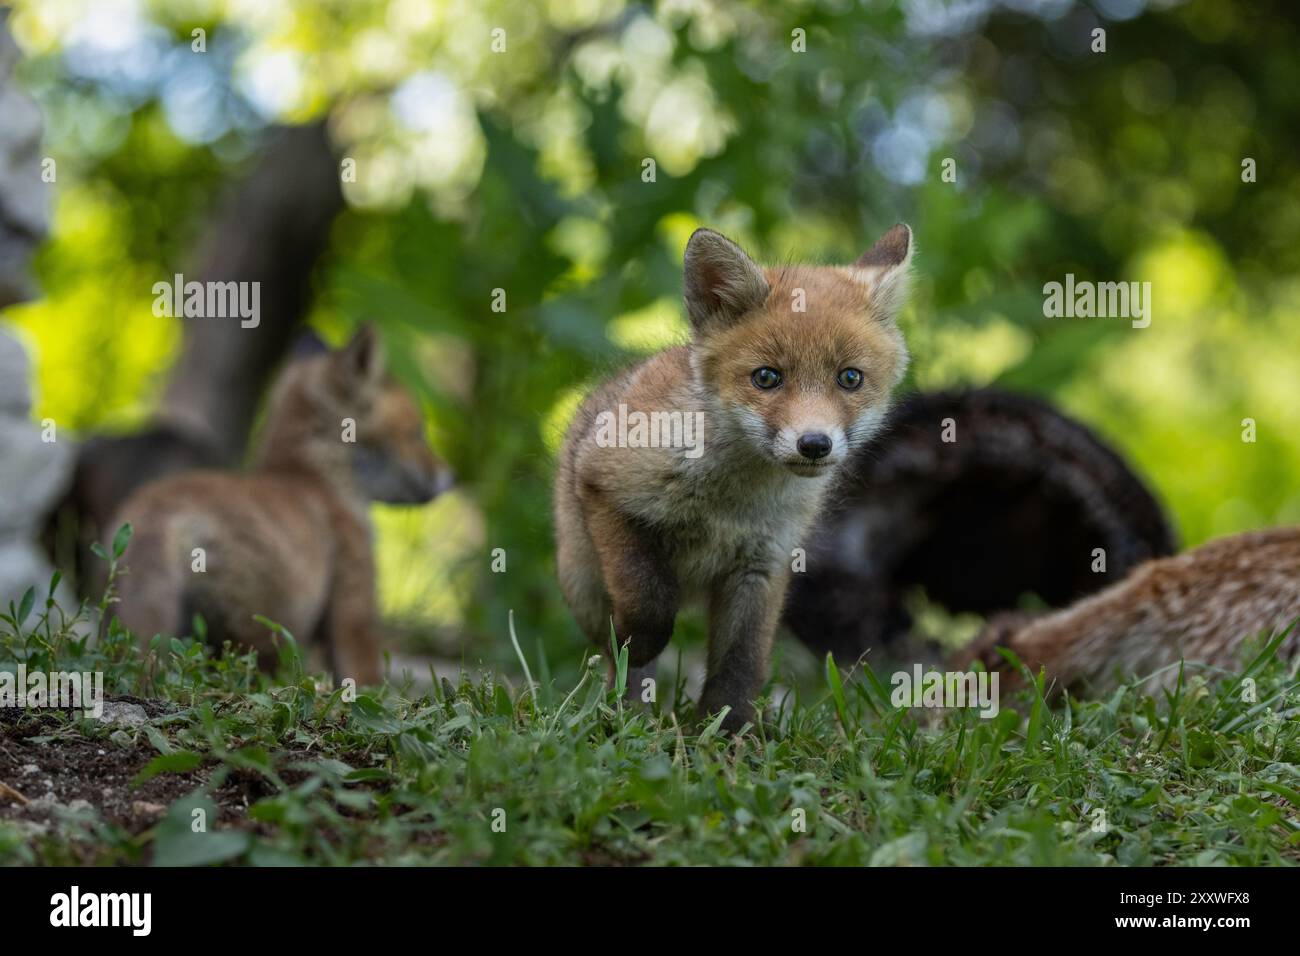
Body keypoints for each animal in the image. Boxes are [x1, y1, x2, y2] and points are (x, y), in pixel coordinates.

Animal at [111, 325, 452, 684]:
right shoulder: (353, 602)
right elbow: (365, 674)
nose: (451, 476)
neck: (314, 476)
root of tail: (159, 513)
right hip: (265, 624)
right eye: (417, 434)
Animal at [554, 224, 914, 731]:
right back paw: (626, 711)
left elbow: (741, 662)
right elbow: (648, 605)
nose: (814, 444)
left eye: (849, 378)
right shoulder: (606, 488)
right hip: (582, 584)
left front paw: (729, 731)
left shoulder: (762, 563)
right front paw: (637, 649)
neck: (732, 501)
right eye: (766, 377)